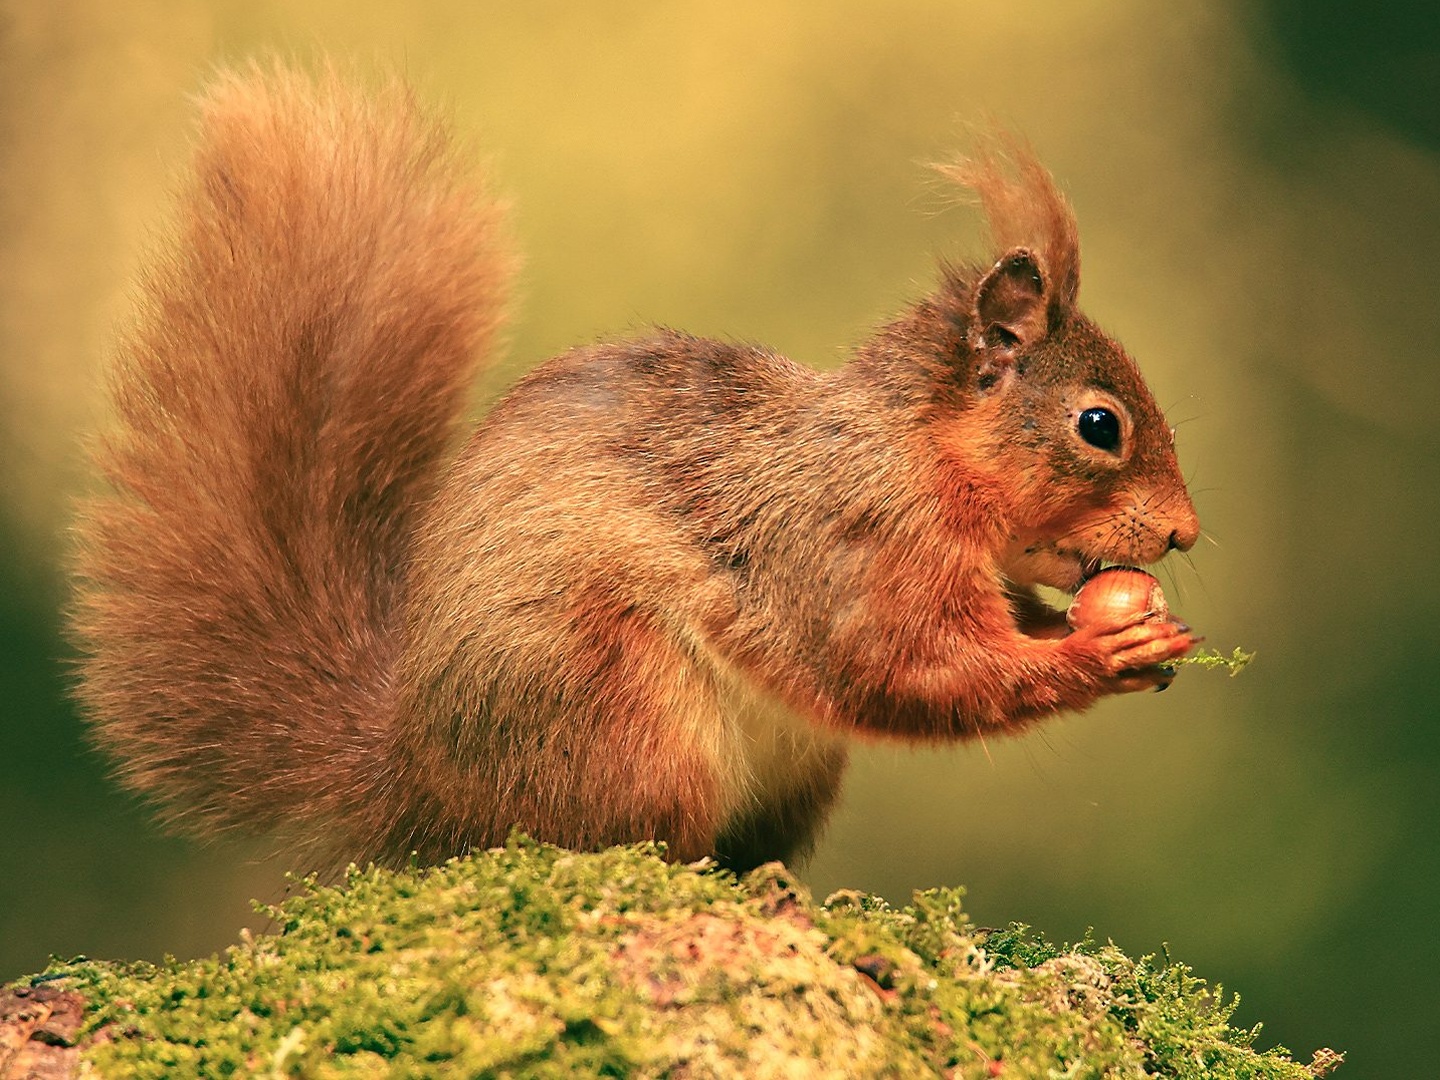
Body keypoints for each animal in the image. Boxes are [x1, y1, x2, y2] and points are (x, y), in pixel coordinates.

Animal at [72, 64, 1200, 874]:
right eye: (1099, 425)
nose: (1185, 534)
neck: (914, 452)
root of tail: (424, 783)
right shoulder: (851, 545)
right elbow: (906, 669)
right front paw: (1096, 652)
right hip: (619, 707)